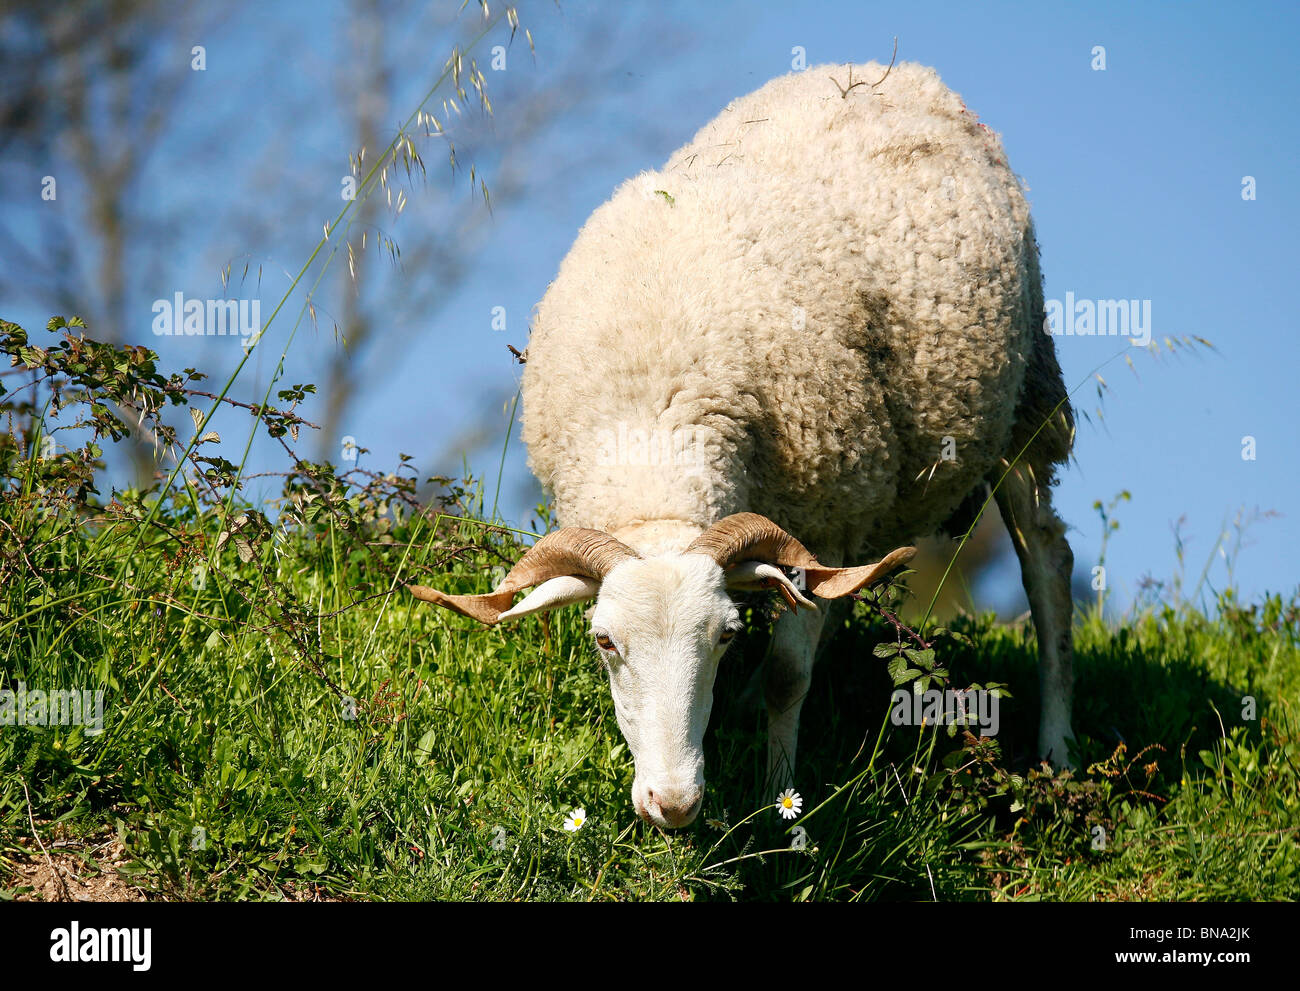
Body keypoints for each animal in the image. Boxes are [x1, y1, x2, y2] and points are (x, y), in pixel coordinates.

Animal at [409, 61, 1076, 829]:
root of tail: (904, 71)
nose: (672, 804)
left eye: (724, 634)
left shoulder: (826, 512)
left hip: (1029, 398)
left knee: (1047, 563)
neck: (659, 427)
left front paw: (779, 801)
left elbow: (792, 674)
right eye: (604, 641)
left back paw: (1058, 750)